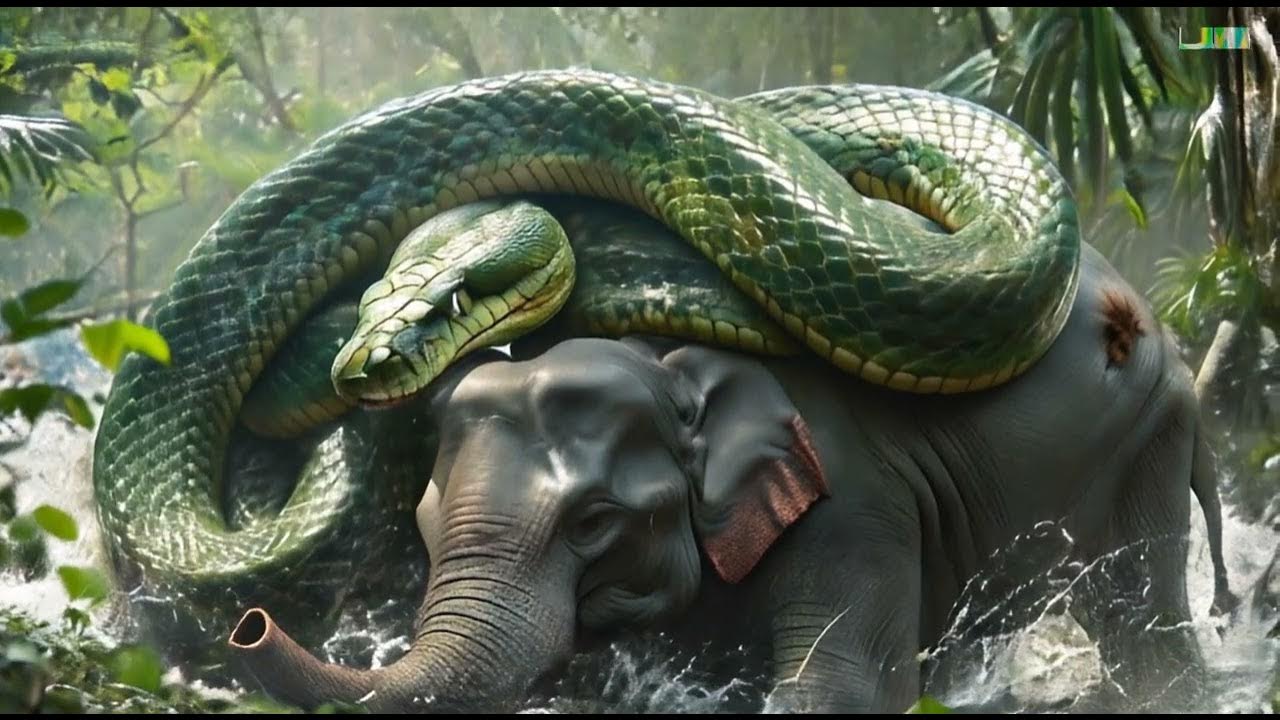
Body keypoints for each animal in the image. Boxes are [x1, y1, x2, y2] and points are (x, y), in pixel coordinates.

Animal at [226, 241, 1237, 713]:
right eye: (428, 530)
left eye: (593, 521)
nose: (250, 624)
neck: (673, 365)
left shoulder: (852, 502)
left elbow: (840, 690)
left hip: (1147, 438)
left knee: (1141, 628)